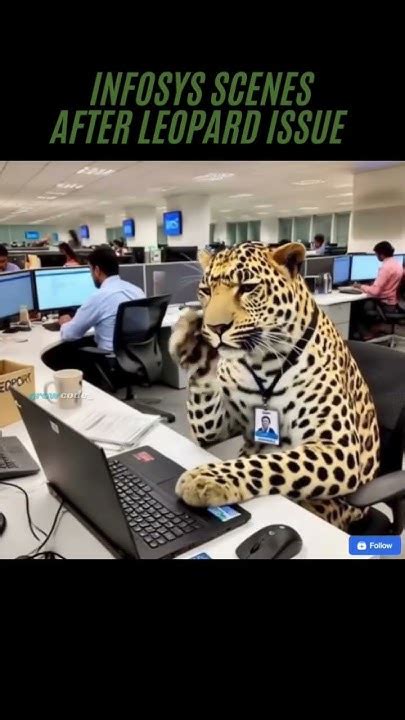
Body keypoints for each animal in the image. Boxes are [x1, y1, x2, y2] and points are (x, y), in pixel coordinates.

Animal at [169, 241, 380, 531]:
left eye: (247, 288)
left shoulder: (339, 448)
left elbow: (269, 462)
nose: (214, 327)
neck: (262, 362)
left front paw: (206, 479)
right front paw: (195, 347)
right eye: (206, 291)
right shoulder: (219, 426)